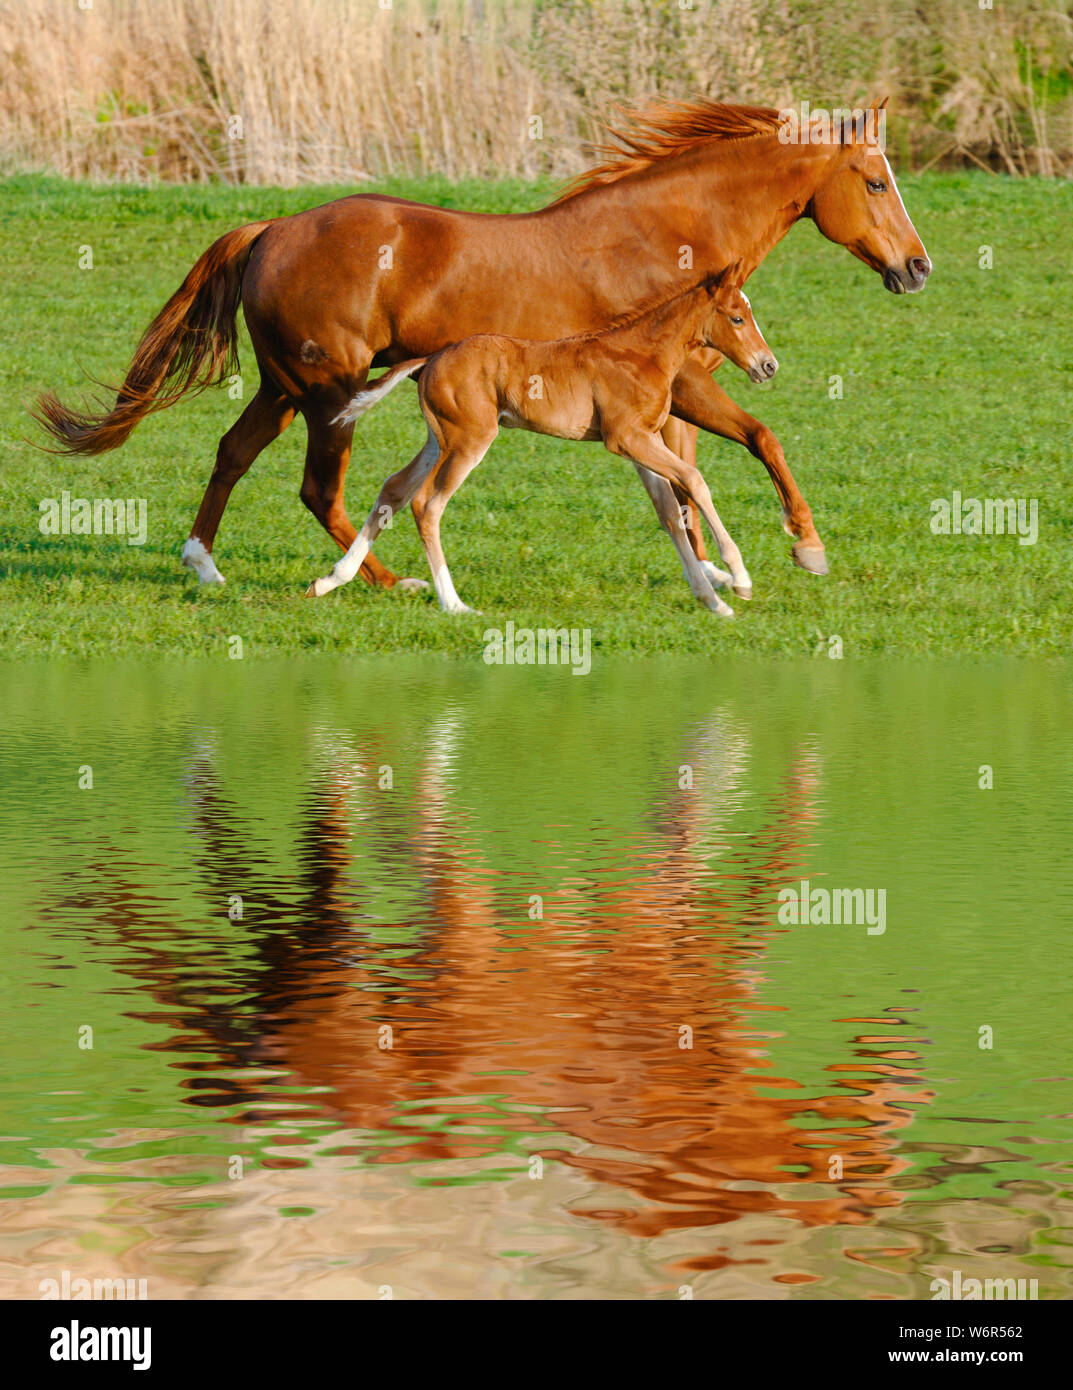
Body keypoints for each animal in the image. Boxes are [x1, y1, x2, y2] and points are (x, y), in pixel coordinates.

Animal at [309, 267, 776, 619]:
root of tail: (432, 358)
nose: (768, 366)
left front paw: (713, 601)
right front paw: (739, 579)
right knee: (427, 504)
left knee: (395, 489)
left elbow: (668, 514)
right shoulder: (626, 438)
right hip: (469, 440)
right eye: (737, 318)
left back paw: (331, 580)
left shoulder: (640, 446)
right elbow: (695, 481)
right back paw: (454, 604)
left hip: (438, 439)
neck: (643, 353)